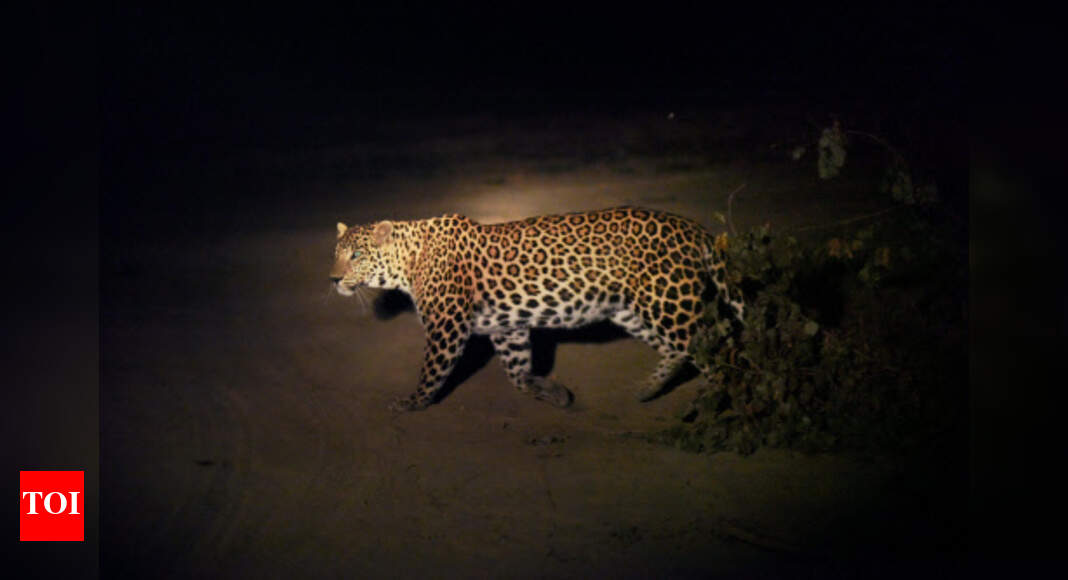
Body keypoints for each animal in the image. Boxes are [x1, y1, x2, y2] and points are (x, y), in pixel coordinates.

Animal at [330, 207, 744, 412]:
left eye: (356, 256)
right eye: (335, 253)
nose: (333, 279)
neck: (408, 262)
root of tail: (694, 229)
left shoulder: (447, 327)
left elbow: (432, 370)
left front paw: (412, 402)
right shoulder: (506, 327)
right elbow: (516, 372)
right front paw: (553, 392)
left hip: (667, 302)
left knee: (716, 346)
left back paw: (711, 400)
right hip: (633, 309)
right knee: (682, 349)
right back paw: (648, 388)